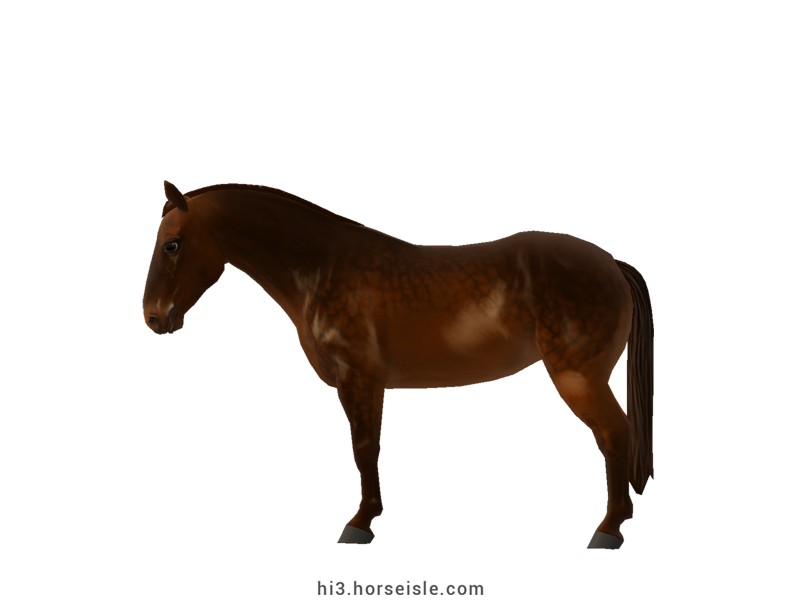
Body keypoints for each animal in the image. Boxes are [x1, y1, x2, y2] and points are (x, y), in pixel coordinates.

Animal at [143, 182, 653, 539]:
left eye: (172, 244)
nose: (153, 318)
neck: (321, 268)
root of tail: (611, 266)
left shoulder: (356, 375)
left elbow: (363, 446)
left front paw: (362, 519)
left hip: (578, 374)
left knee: (614, 435)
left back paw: (609, 526)